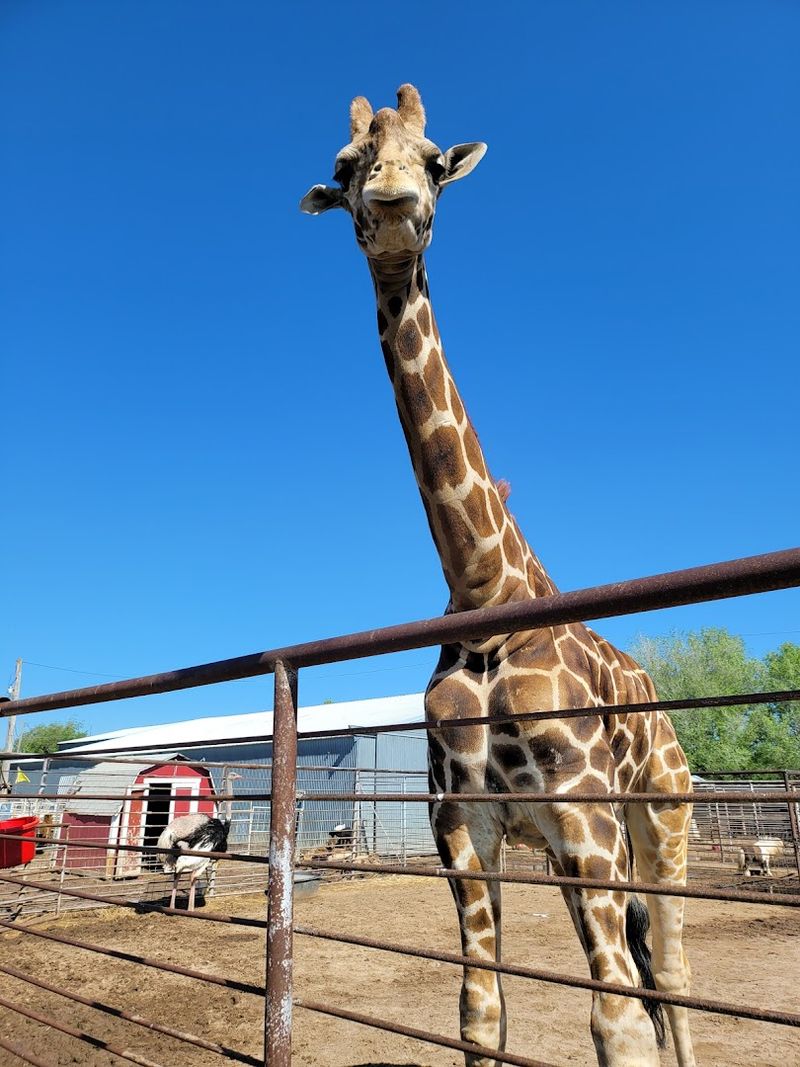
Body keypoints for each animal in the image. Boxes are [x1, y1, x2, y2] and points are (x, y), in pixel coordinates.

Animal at [301, 85, 695, 1067]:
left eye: (436, 159)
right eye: (345, 164)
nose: (395, 202)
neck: (484, 590)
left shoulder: (583, 813)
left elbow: (614, 1020)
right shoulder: (466, 823)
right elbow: (482, 1010)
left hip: (658, 819)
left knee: (669, 975)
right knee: (647, 972)